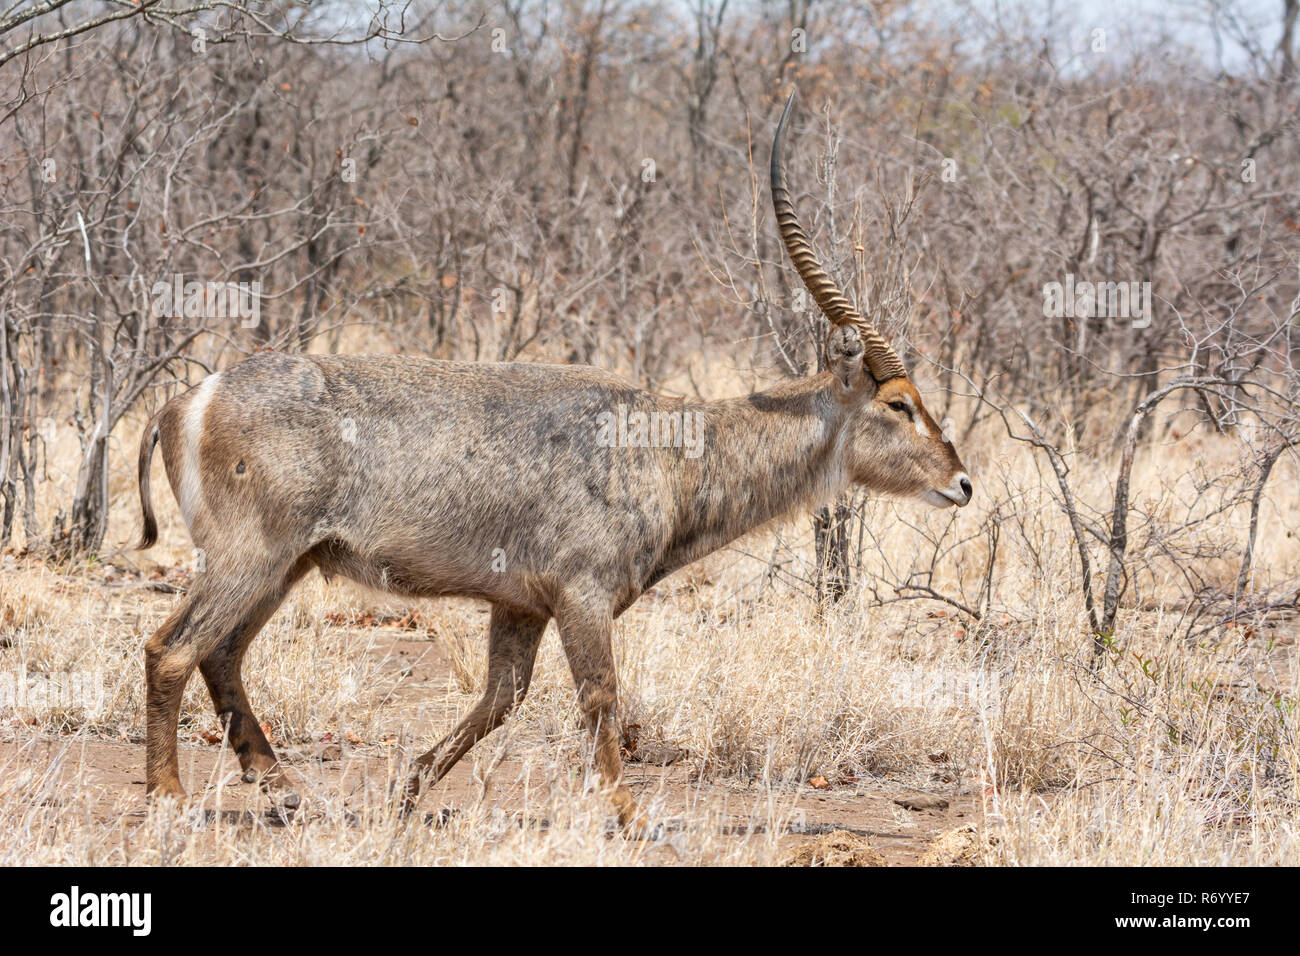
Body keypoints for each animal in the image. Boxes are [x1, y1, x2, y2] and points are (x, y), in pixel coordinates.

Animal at [135, 91, 971, 829]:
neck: (673, 448)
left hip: (288, 565)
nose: (961, 483)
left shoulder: (520, 605)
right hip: (251, 558)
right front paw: (629, 815)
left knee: (222, 655)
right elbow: (599, 695)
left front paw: (409, 789)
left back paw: (282, 787)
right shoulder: (582, 595)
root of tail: (188, 399)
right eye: (900, 403)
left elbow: (500, 698)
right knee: (171, 651)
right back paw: (171, 796)